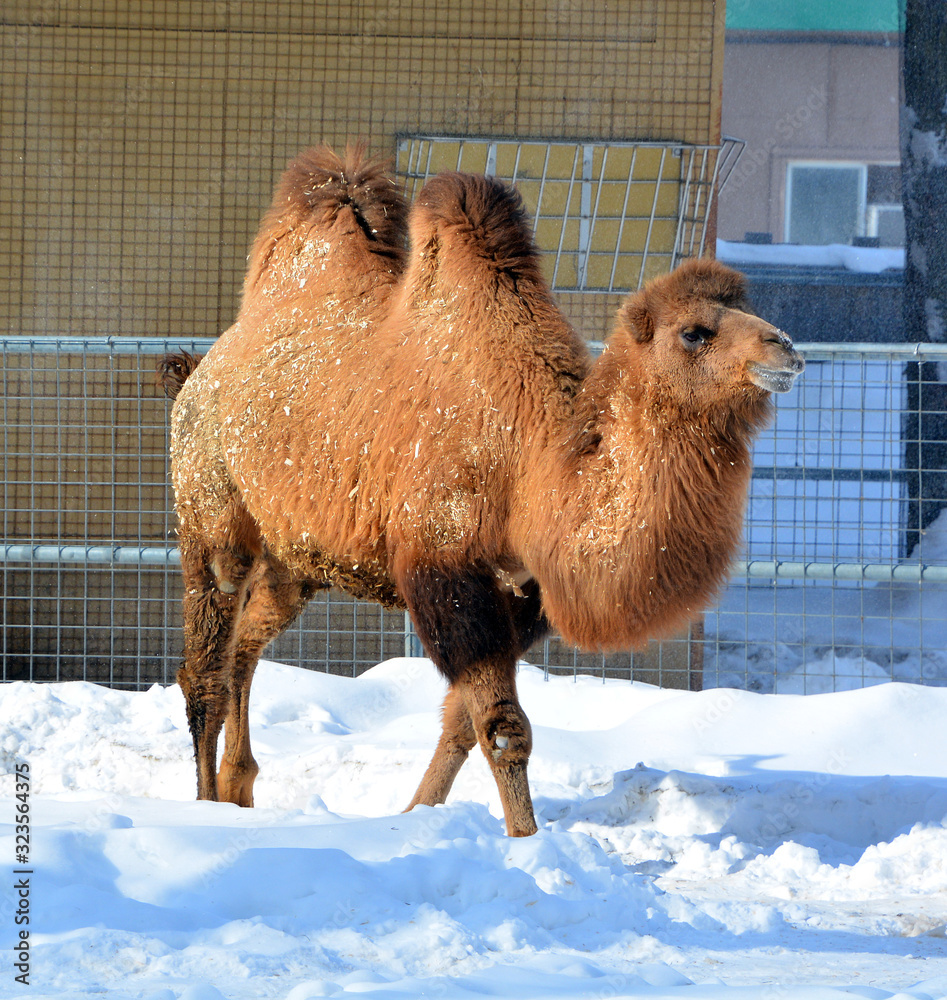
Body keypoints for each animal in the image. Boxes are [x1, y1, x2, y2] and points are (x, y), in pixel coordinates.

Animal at [164, 145, 803, 837]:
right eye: (693, 332)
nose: (785, 347)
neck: (532, 467)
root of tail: (202, 370)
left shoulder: (526, 593)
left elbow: (462, 724)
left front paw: (416, 814)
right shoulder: (447, 565)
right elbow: (503, 729)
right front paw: (525, 840)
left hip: (296, 555)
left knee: (247, 643)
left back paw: (238, 789)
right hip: (208, 504)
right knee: (204, 665)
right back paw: (203, 805)